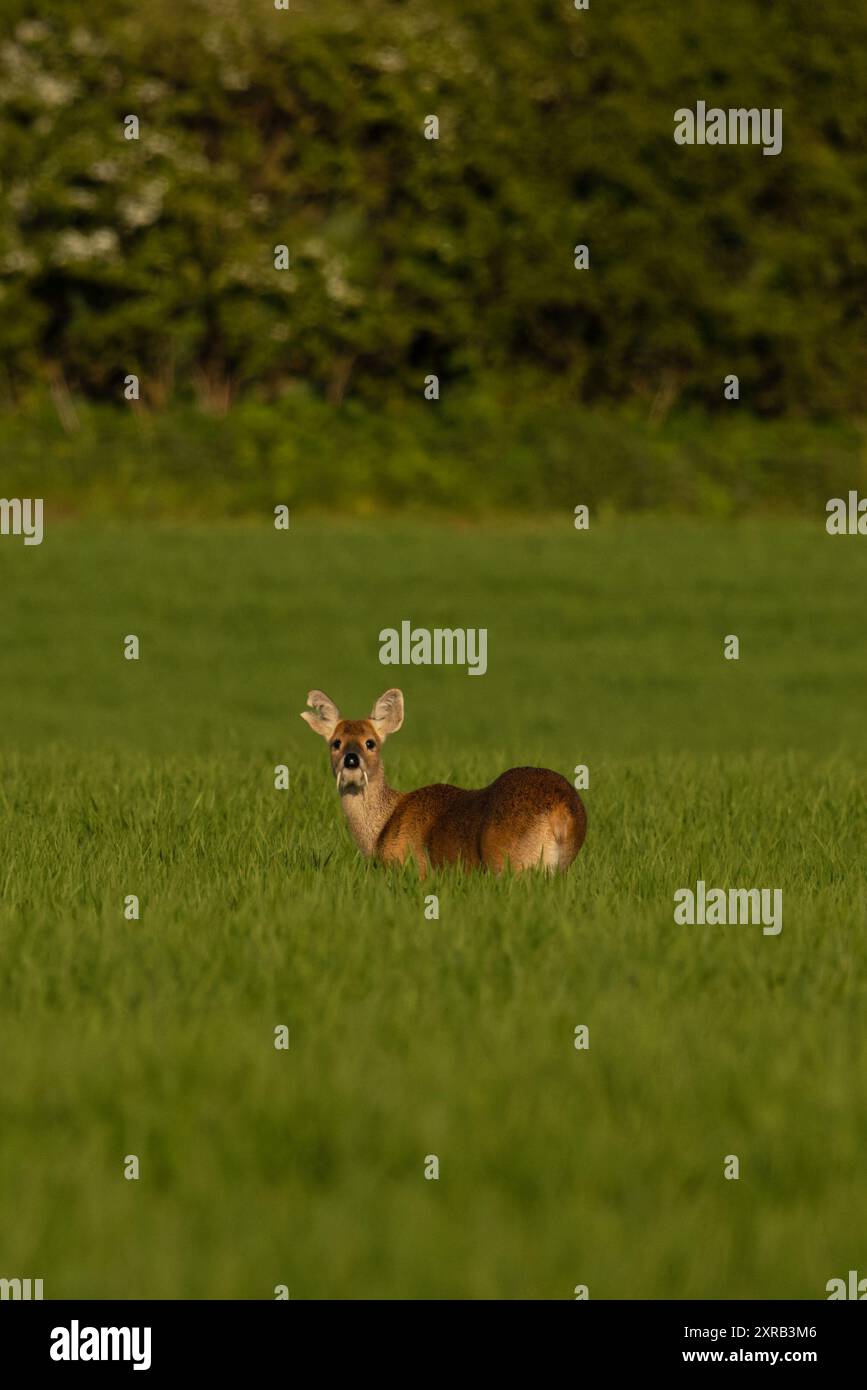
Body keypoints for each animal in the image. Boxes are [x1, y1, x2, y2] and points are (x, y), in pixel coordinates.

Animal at [300, 688, 587, 877]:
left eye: (370, 743)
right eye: (335, 743)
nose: (351, 760)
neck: (383, 826)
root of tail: (561, 811)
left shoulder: (413, 867)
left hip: (511, 862)